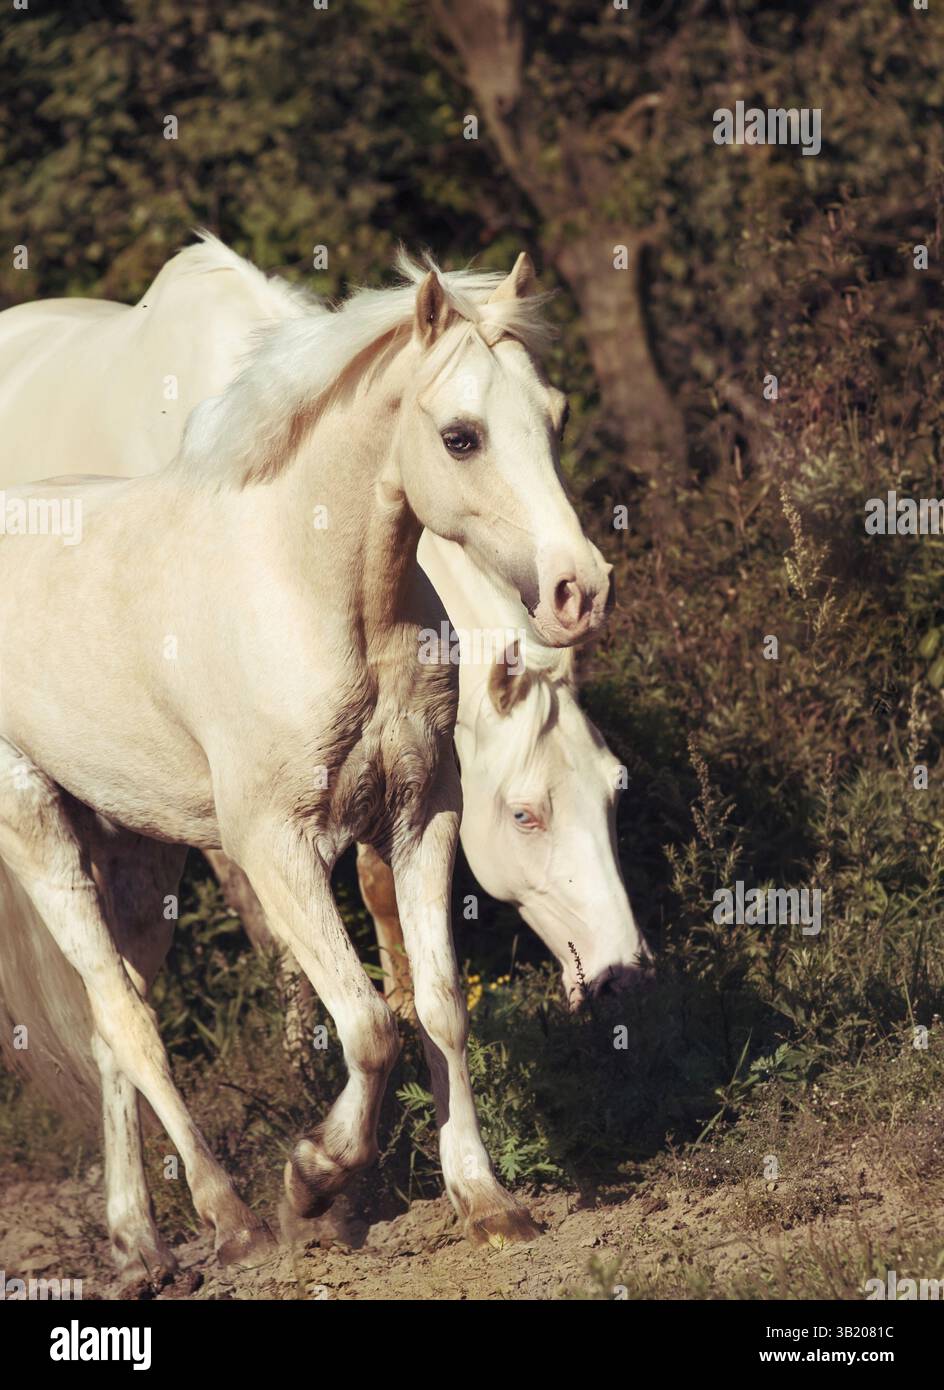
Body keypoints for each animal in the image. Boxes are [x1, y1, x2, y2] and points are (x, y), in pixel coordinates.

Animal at [0, 246, 612, 1285]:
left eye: (556, 415)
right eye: (461, 437)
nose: (580, 590)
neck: (316, 589)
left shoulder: (419, 822)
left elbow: (435, 1009)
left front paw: (486, 1202)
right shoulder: (273, 849)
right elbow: (366, 1026)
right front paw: (316, 1186)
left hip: (135, 850)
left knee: (110, 1021)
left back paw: (139, 1242)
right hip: (36, 828)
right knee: (129, 1023)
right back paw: (233, 1220)